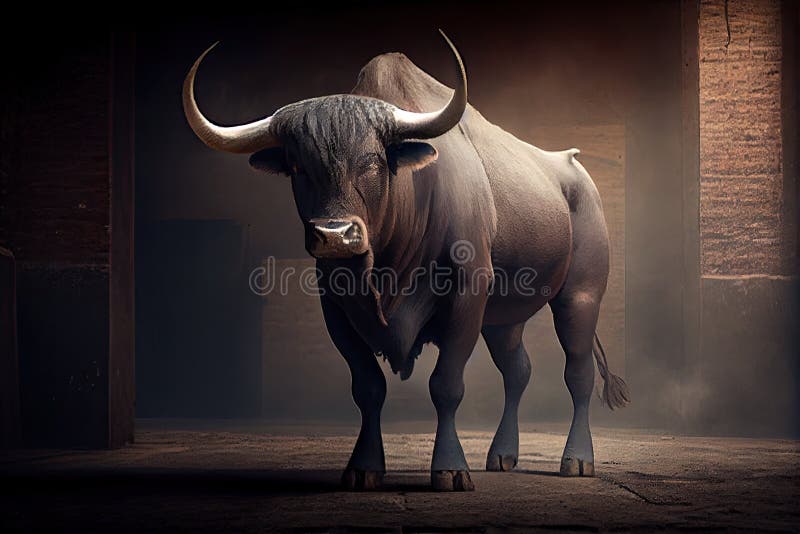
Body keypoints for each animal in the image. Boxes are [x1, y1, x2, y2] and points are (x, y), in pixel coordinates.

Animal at [182, 31, 630, 491]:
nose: (334, 235)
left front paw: (450, 468)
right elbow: (368, 388)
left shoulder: (466, 301)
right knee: (517, 370)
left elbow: (446, 386)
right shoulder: (335, 310)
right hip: (504, 319)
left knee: (578, 373)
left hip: (580, 297)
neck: (387, 267)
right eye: (297, 167)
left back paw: (577, 459)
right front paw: (363, 467)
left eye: (373, 161)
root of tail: (575, 173)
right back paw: (502, 455)